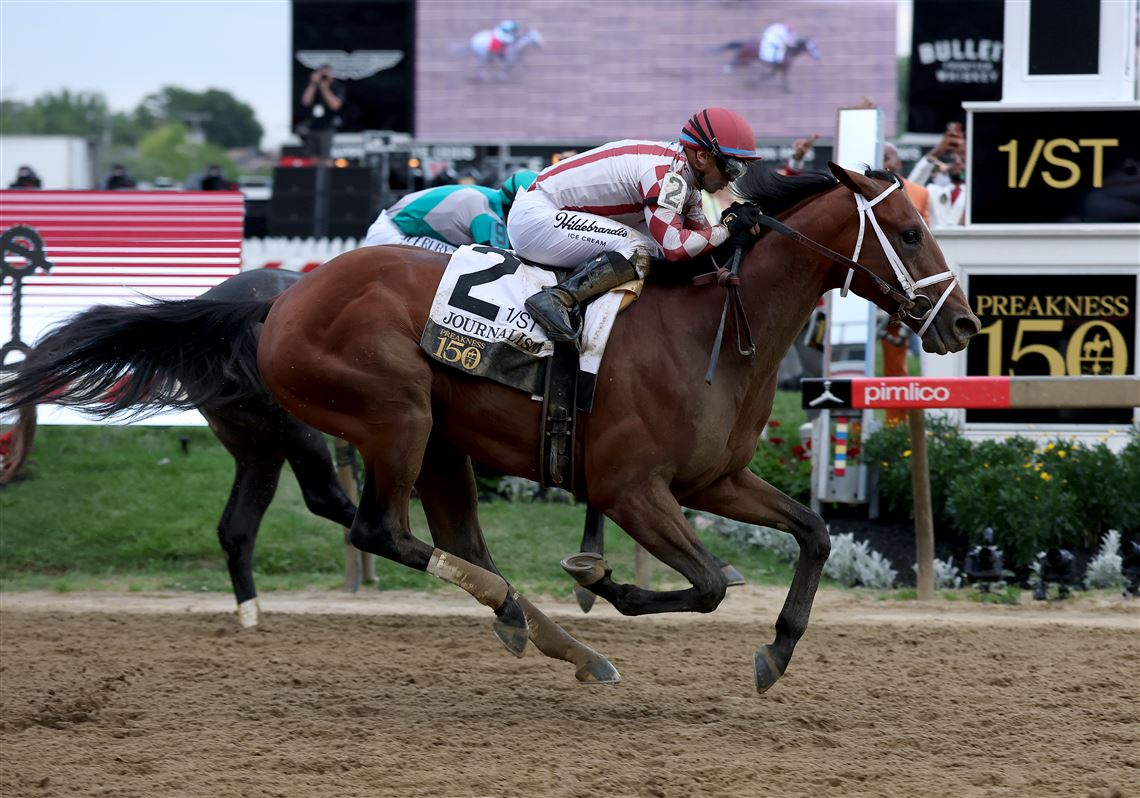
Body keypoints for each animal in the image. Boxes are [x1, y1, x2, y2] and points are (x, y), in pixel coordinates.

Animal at [0, 164, 980, 691]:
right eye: (906, 230)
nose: (965, 324)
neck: (713, 329)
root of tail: (274, 302)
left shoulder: (714, 479)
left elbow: (813, 532)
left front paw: (777, 649)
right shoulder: (633, 488)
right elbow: (705, 582)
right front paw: (607, 583)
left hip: (433, 441)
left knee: (445, 539)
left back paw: (554, 638)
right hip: (394, 412)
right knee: (375, 525)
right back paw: (536, 619)